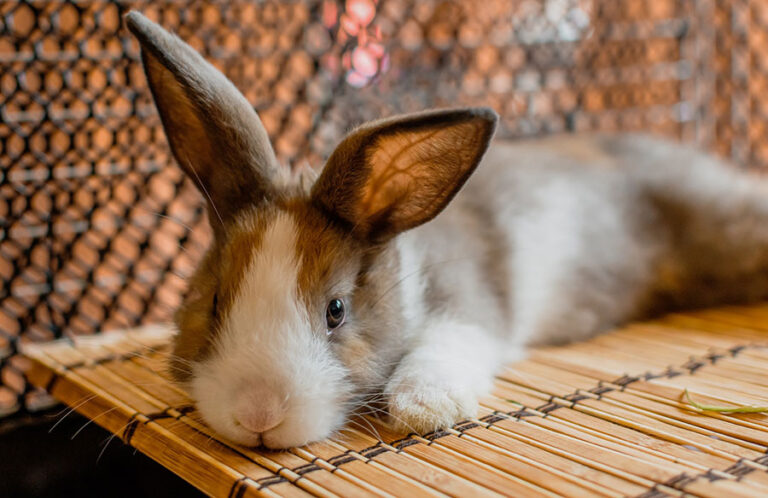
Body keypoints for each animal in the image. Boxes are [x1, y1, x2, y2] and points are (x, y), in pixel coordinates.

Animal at [126, 12, 768, 449]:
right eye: (213, 302)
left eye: (336, 311)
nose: (259, 416)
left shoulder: (470, 303)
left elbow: (448, 344)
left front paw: (424, 407)